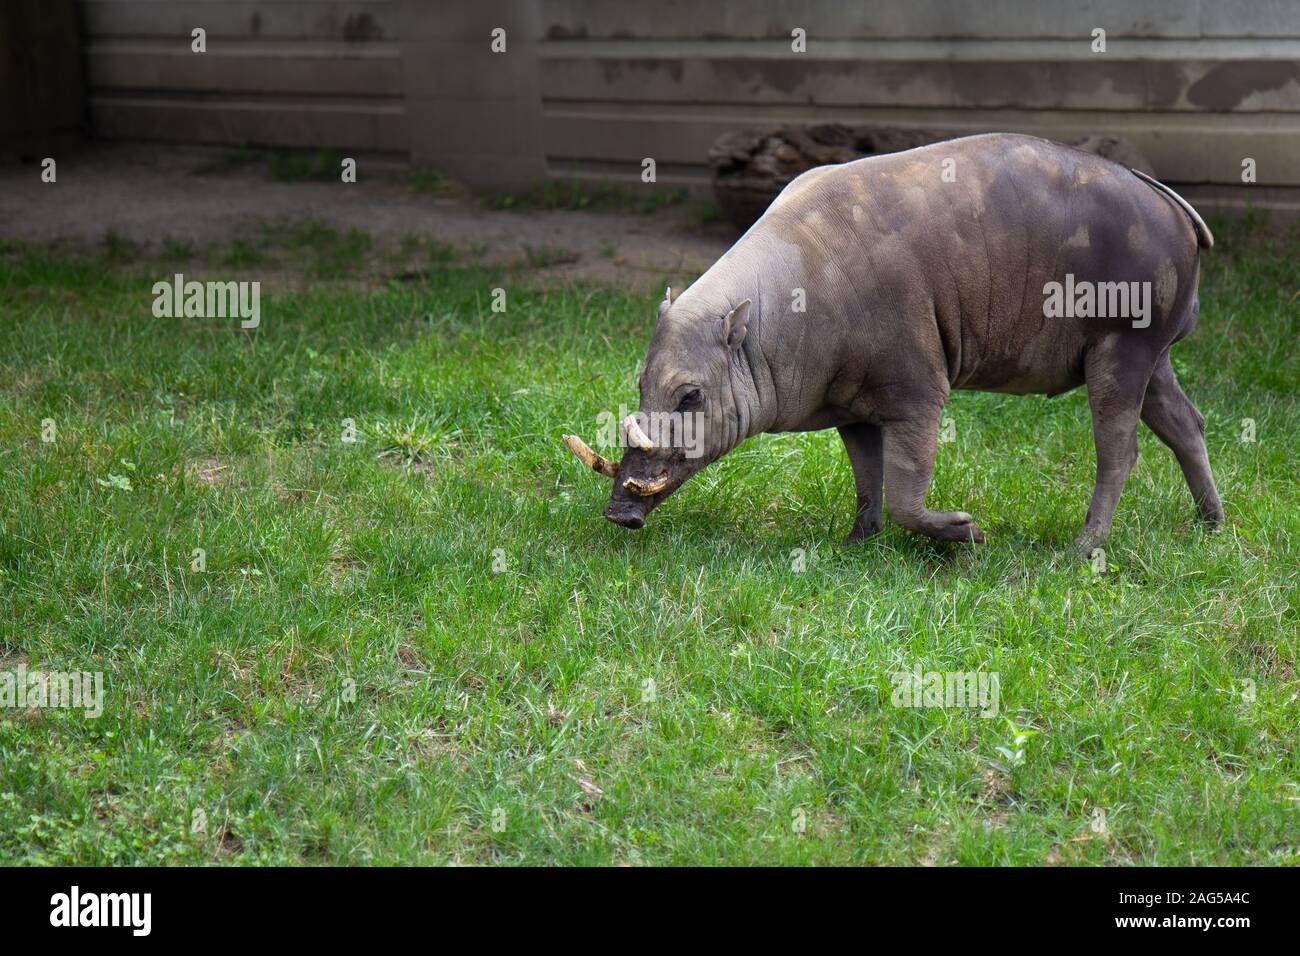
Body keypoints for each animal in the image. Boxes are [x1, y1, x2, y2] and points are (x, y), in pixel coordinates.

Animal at [564, 133, 1223, 555]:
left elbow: (907, 486)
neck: (786, 309)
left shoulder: (916, 391)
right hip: (1152, 354)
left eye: (691, 397)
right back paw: (1212, 523)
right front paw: (858, 541)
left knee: (1120, 450)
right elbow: (867, 474)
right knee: (1186, 425)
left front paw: (969, 533)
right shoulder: (851, 406)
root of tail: (1179, 211)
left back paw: (1084, 549)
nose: (619, 513)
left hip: (1123, 346)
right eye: (640, 384)